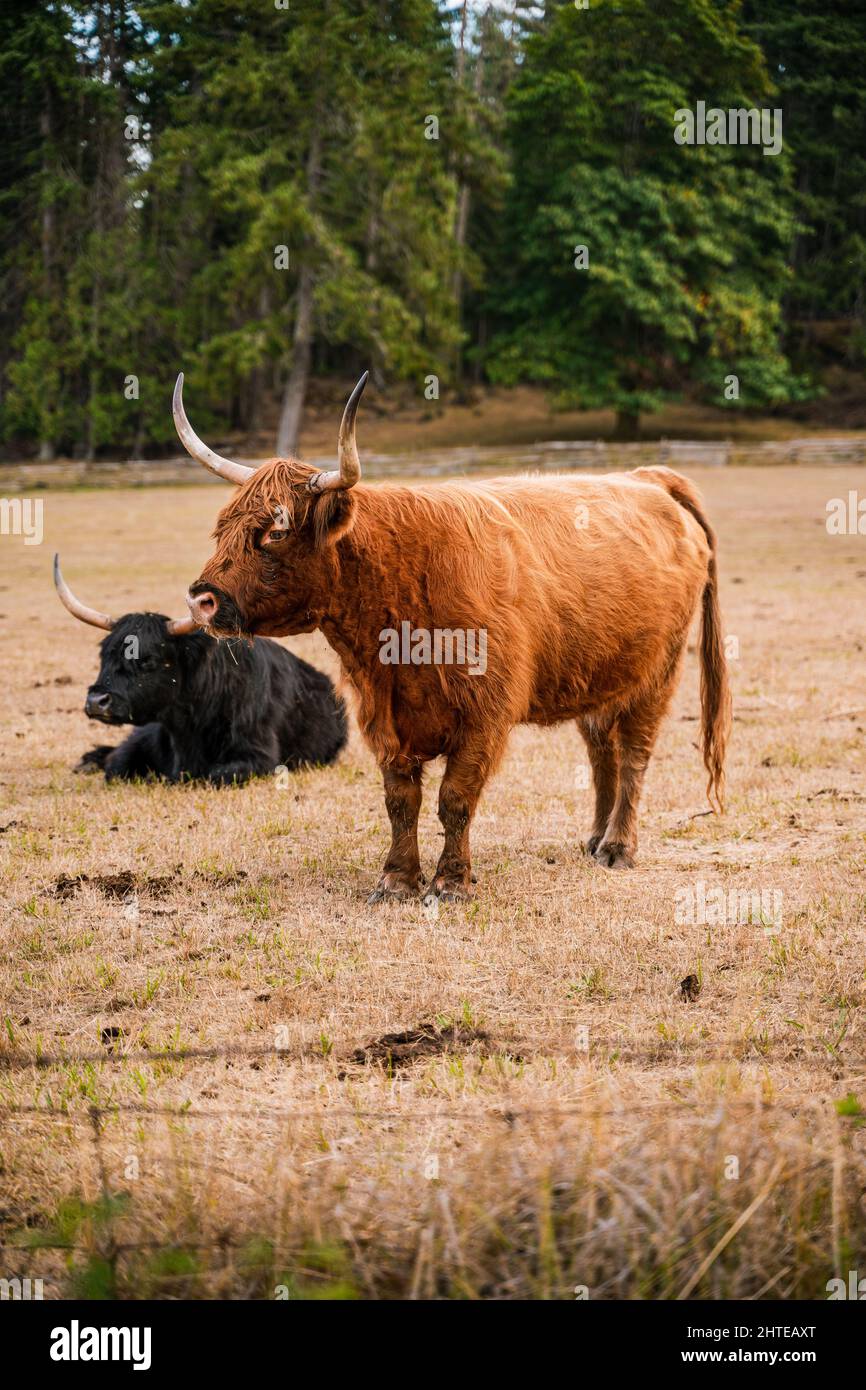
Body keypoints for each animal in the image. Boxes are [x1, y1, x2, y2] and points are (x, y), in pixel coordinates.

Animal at [54, 555, 347, 784]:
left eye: (148, 660)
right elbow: (116, 767)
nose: (96, 701)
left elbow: (213, 775)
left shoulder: (257, 757)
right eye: (104, 655)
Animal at [173, 372, 731, 901]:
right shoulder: (384, 717)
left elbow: (456, 799)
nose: (202, 599)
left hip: (657, 675)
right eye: (223, 527)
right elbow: (401, 802)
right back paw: (594, 838)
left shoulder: (485, 714)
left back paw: (618, 847)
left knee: (634, 754)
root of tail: (646, 478)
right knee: (601, 754)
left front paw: (452, 882)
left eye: (276, 531)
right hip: (600, 675)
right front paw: (397, 879)